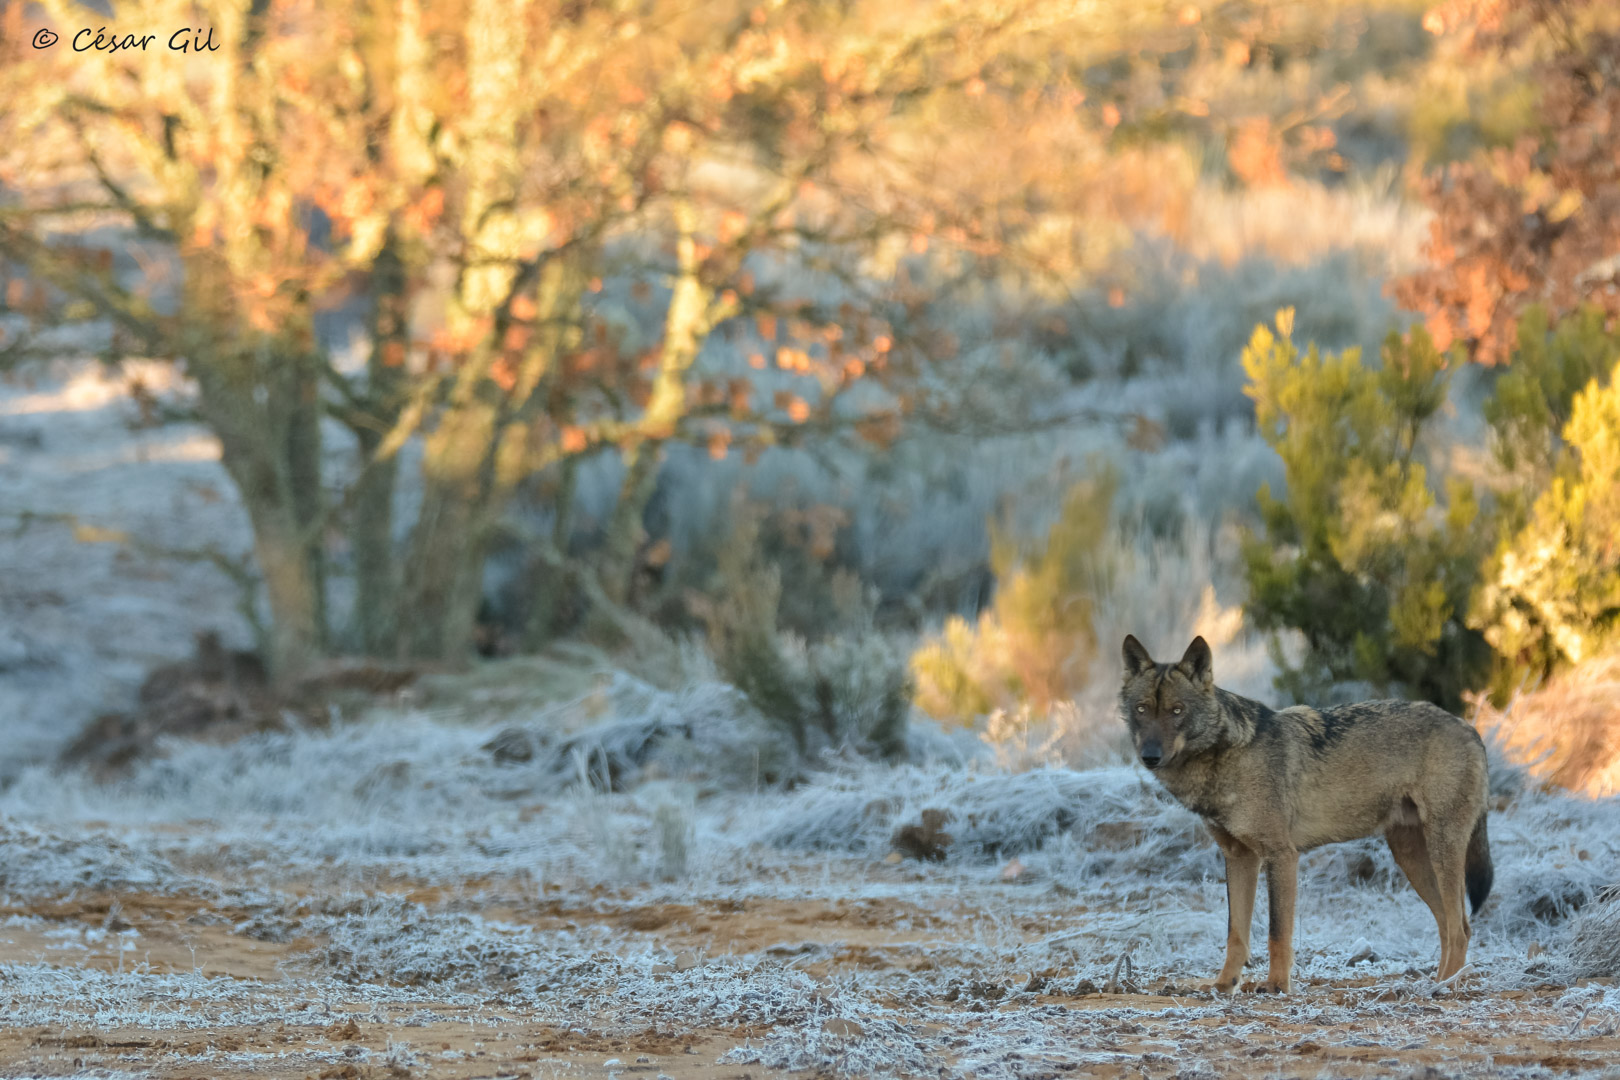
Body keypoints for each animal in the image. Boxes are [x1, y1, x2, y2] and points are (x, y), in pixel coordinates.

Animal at [1119, 635, 1493, 994]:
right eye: (1142, 709)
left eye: (1177, 710)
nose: (1150, 756)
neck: (1223, 759)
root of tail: (1470, 729)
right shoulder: (1239, 858)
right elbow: (1236, 934)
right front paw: (1223, 986)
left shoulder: (1281, 855)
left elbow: (1276, 933)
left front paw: (1276, 986)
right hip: (1411, 858)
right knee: (1450, 925)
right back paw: (1435, 983)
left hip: (1441, 851)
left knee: (1460, 928)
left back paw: (1444, 988)